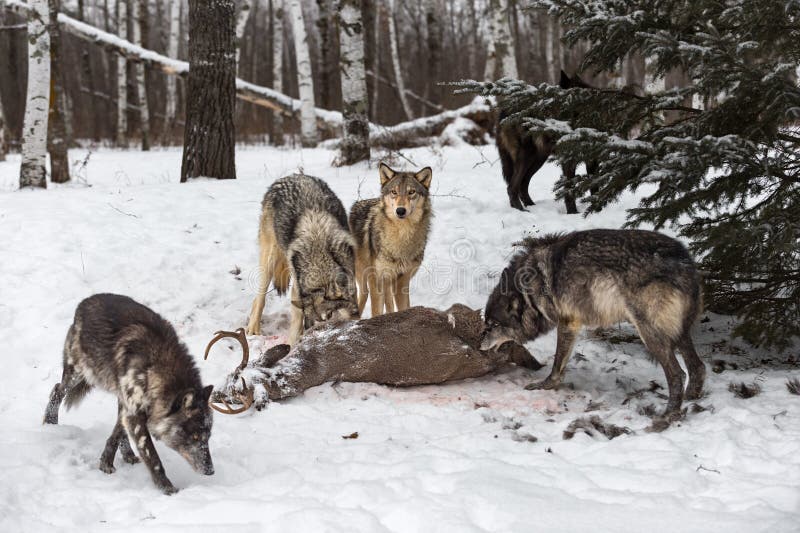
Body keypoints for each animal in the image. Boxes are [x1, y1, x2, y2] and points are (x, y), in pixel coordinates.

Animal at [43, 294, 214, 494]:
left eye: (208, 437)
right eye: (194, 437)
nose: (211, 471)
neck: (155, 367)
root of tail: (84, 303)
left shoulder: (131, 410)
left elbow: (116, 435)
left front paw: (106, 462)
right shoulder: (133, 412)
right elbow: (152, 457)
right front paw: (167, 488)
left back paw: (128, 455)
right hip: (78, 374)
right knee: (56, 389)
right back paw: (50, 421)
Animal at [246, 173, 359, 344]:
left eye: (330, 315)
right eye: (314, 322)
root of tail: (290, 176)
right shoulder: (297, 292)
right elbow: (296, 326)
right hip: (269, 262)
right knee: (260, 298)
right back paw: (253, 328)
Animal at [349, 163, 433, 317]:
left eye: (411, 192)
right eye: (394, 192)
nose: (400, 210)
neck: (402, 235)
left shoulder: (403, 280)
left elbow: (403, 308)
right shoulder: (376, 278)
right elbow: (377, 310)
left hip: (389, 280)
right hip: (363, 274)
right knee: (363, 294)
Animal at [482, 229, 705, 424]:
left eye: (494, 325)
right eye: (486, 322)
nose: (480, 343)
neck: (530, 288)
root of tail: (685, 261)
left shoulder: (567, 322)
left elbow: (557, 363)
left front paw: (546, 385)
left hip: (649, 334)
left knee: (678, 373)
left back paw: (668, 415)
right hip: (678, 332)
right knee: (698, 366)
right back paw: (691, 397)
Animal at [497, 70, 597, 213]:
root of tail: (504, 111)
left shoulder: (593, 159)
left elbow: (595, 187)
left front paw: (596, 210)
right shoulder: (568, 159)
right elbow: (569, 188)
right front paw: (572, 212)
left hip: (538, 159)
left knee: (523, 184)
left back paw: (529, 205)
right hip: (527, 156)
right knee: (512, 186)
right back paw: (521, 210)